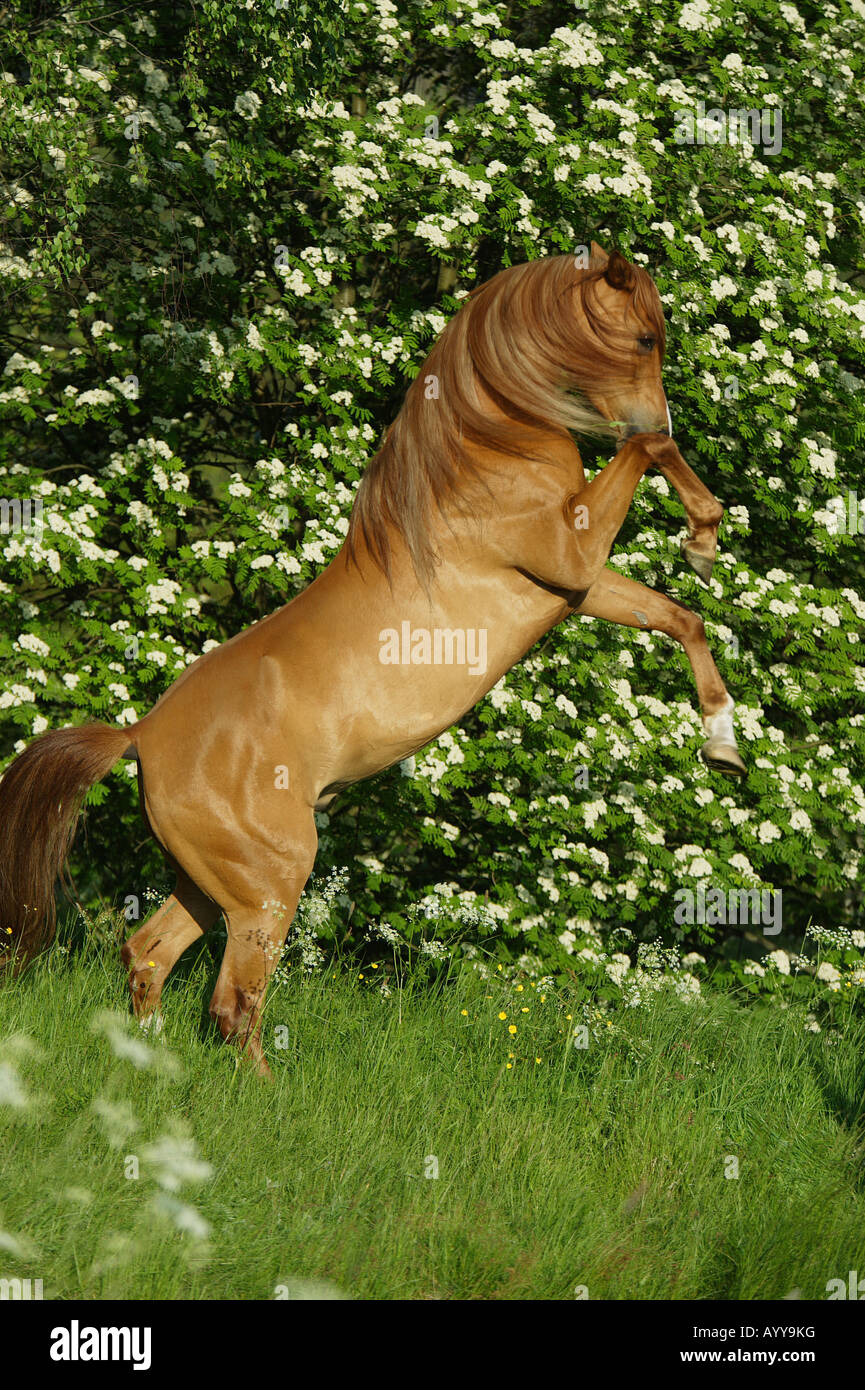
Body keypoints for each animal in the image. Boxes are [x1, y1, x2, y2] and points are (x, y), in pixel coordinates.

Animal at [0, 243, 745, 1076]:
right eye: (645, 337)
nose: (660, 410)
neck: (487, 451)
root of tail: (141, 737)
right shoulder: (571, 552)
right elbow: (644, 457)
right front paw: (703, 531)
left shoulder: (576, 588)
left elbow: (680, 616)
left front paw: (723, 742)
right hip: (269, 885)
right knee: (231, 1006)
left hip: (211, 883)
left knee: (149, 956)